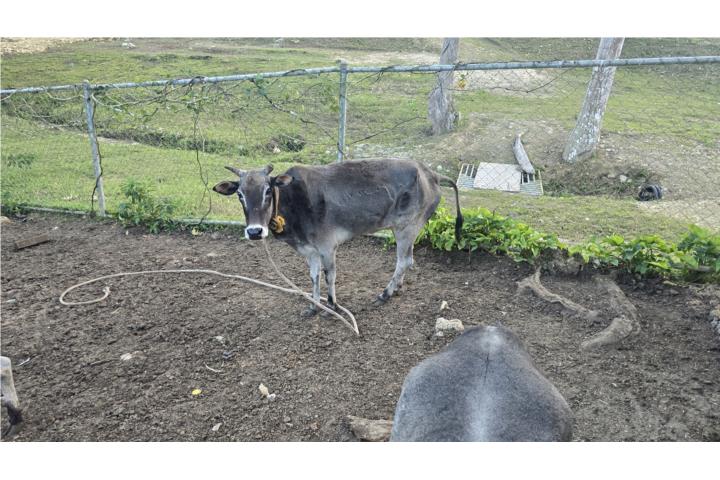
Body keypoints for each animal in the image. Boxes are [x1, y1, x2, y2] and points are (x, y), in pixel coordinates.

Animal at [212, 158, 463, 316]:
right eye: (239, 194)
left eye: (267, 190)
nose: (255, 231)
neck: (294, 202)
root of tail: (431, 174)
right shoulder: (309, 251)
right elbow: (313, 277)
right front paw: (314, 307)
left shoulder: (327, 247)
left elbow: (328, 276)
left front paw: (332, 307)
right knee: (407, 261)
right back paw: (396, 288)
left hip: (407, 228)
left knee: (404, 261)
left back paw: (385, 293)